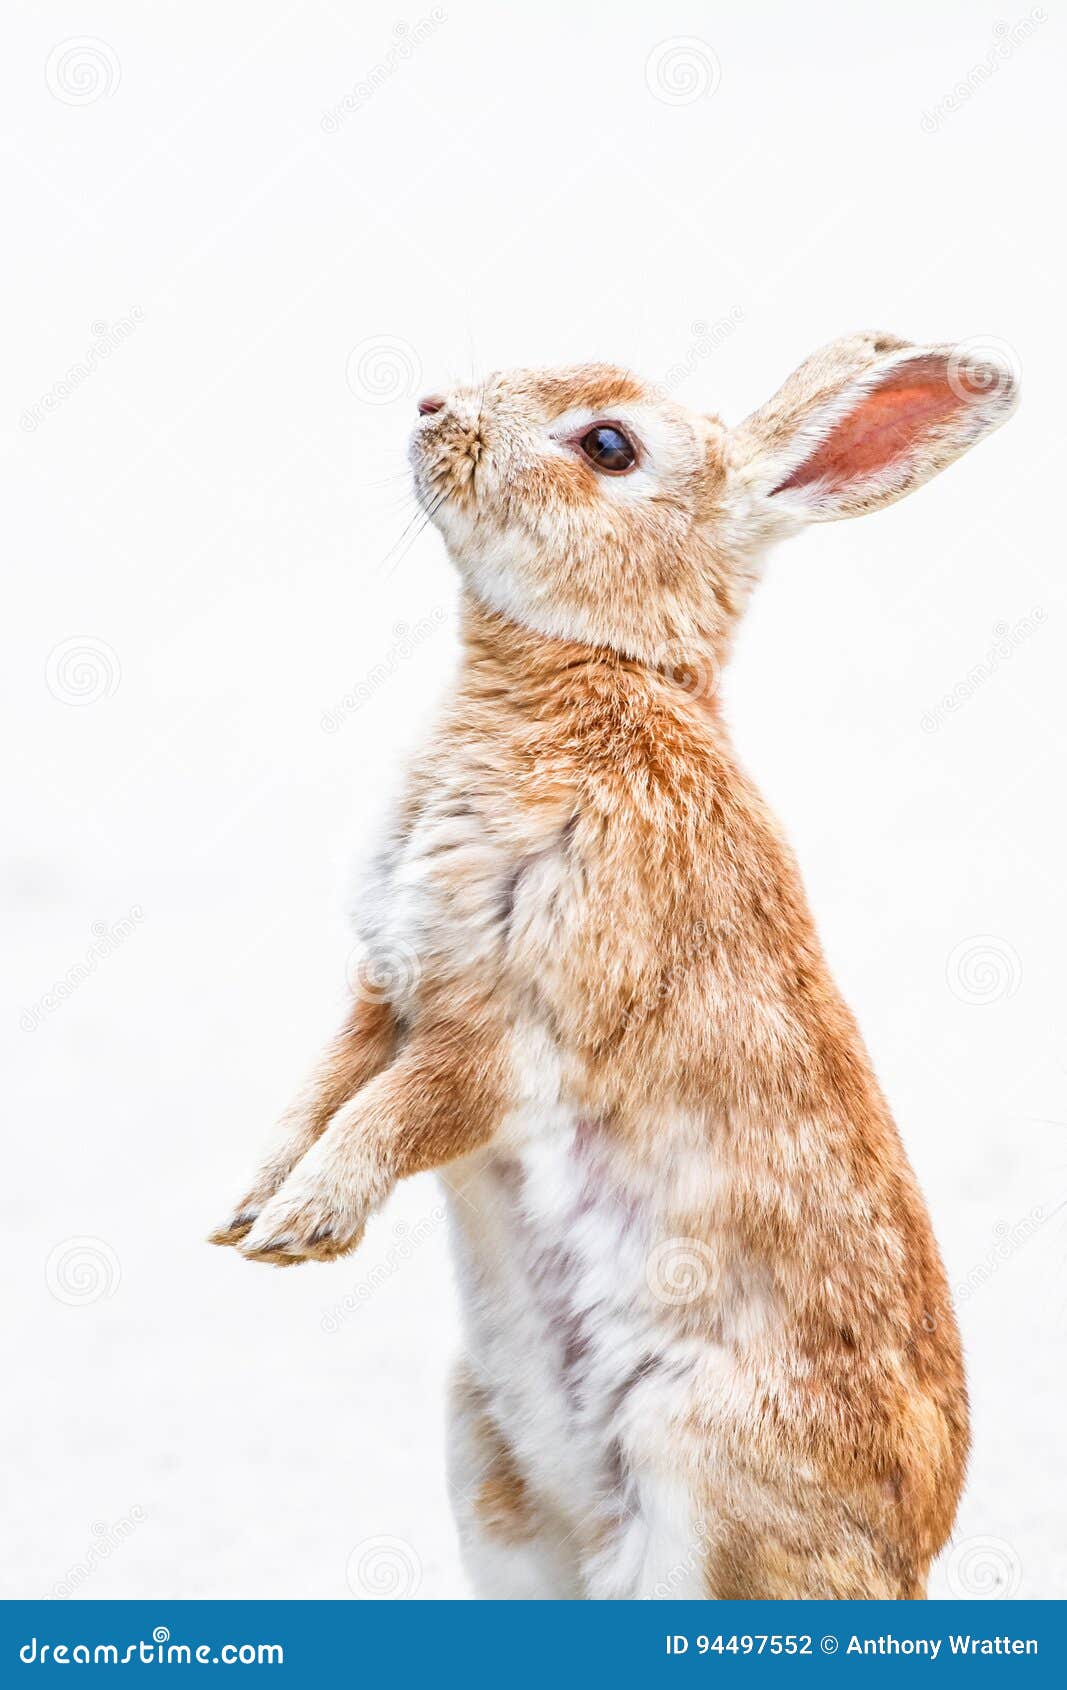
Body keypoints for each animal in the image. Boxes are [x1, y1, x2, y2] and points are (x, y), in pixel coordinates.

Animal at [211, 332, 1017, 1600]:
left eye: (606, 446)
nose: (432, 405)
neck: (590, 666)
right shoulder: (385, 991)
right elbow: (320, 1093)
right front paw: (252, 1212)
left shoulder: (507, 1039)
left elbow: (391, 1113)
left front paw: (305, 1226)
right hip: (485, 1454)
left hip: (698, 1468)